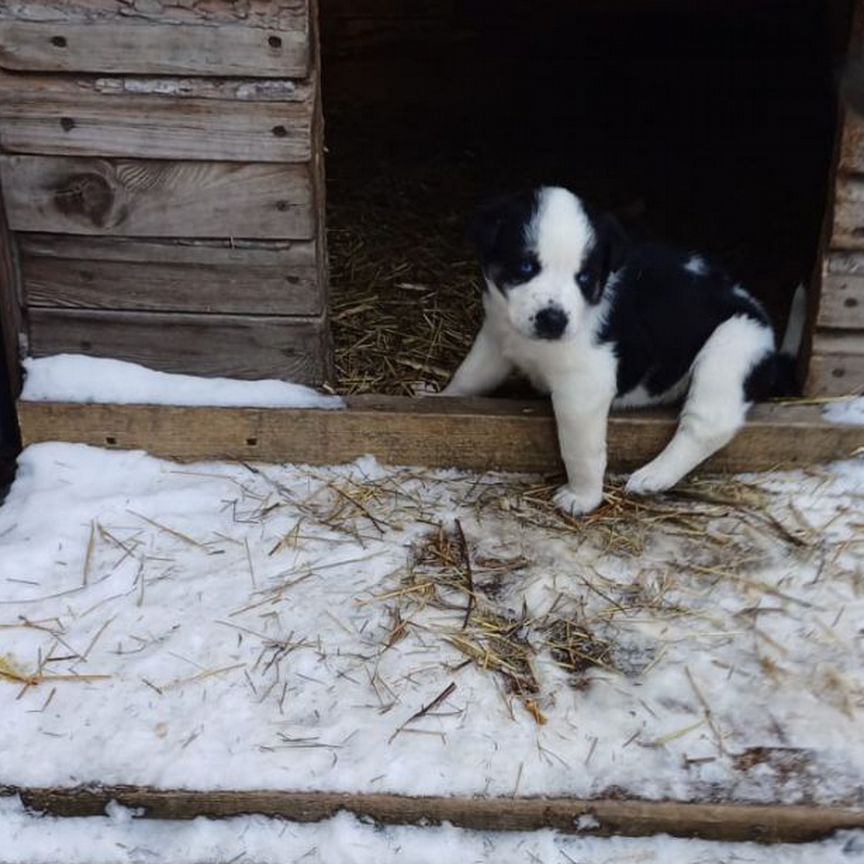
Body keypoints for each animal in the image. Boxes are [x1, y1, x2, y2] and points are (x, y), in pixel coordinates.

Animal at [446, 186, 804, 516]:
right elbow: (468, 378)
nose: (553, 319)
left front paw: (583, 497)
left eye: (585, 277)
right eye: (525, 267)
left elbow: (580, 450)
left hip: (730, 351)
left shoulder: (583, 389)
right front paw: (444, 399)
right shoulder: (495, 340)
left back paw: (653, 476)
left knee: (707, 425)